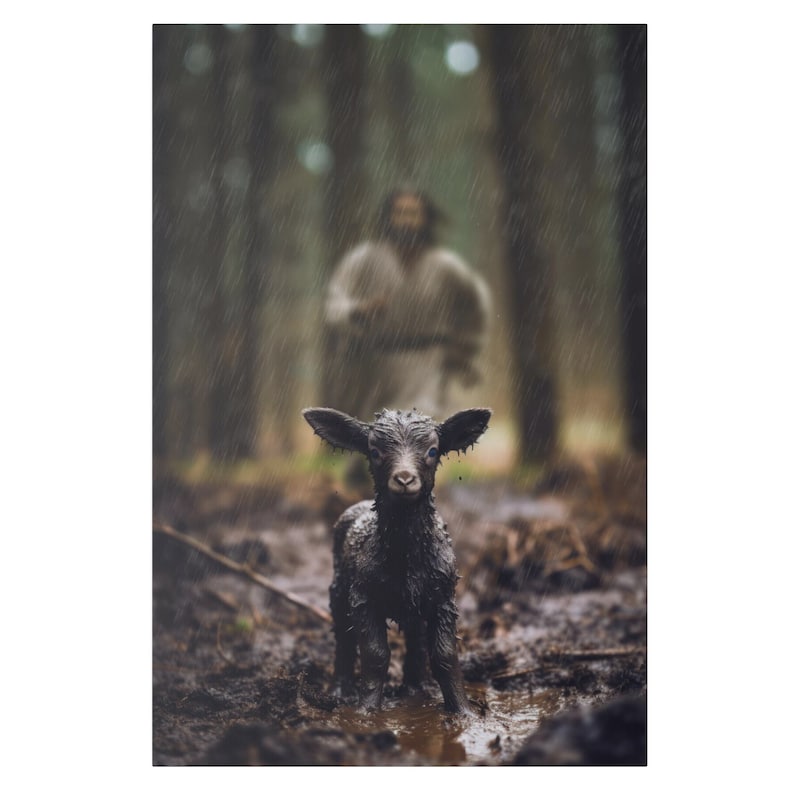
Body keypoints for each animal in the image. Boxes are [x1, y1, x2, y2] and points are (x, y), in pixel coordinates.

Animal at [302, 405, 491, 714]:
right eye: (374, 451)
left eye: (432, 451)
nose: (404, 479)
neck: (405, 555)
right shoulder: (363, 597)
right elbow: (375, 655)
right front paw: (366, 712)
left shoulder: (444, 597)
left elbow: (445, 655)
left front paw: (464, 712)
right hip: (339, 590)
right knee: (343, 637)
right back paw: (341, 689)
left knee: (415, 639)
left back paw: (415, 689)